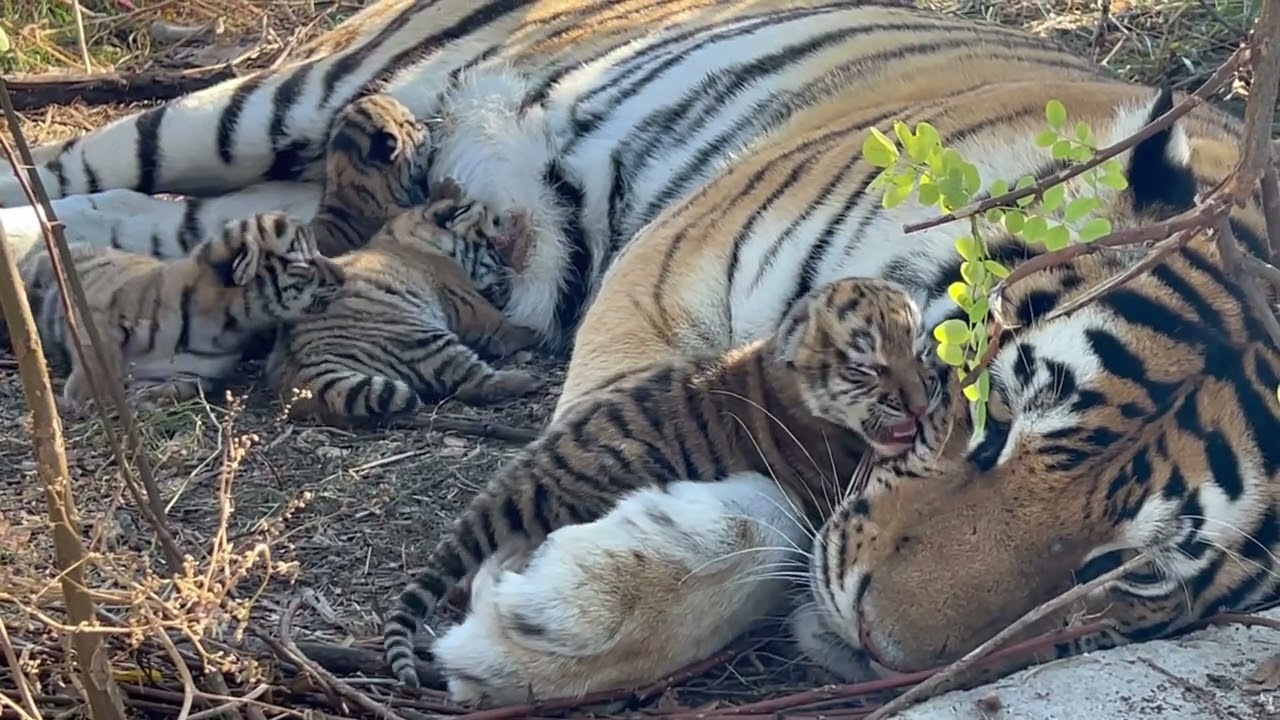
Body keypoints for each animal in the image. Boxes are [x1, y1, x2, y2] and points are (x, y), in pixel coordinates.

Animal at [22, 213, 345, 413]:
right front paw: (86, 397)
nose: (344, 277)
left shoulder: (192, 375)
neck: (220, 326)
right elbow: (99, 359)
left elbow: (176, 388)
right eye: (302, 262)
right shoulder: (101, 311)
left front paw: (146, 399)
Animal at [266, 179, 543, 424]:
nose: (509, 220)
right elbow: (507, 326)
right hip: (427, 340)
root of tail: (302, 372)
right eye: (493, 220)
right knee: (473, 384)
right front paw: (536, 333)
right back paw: (527, 380)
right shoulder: (471, 305)